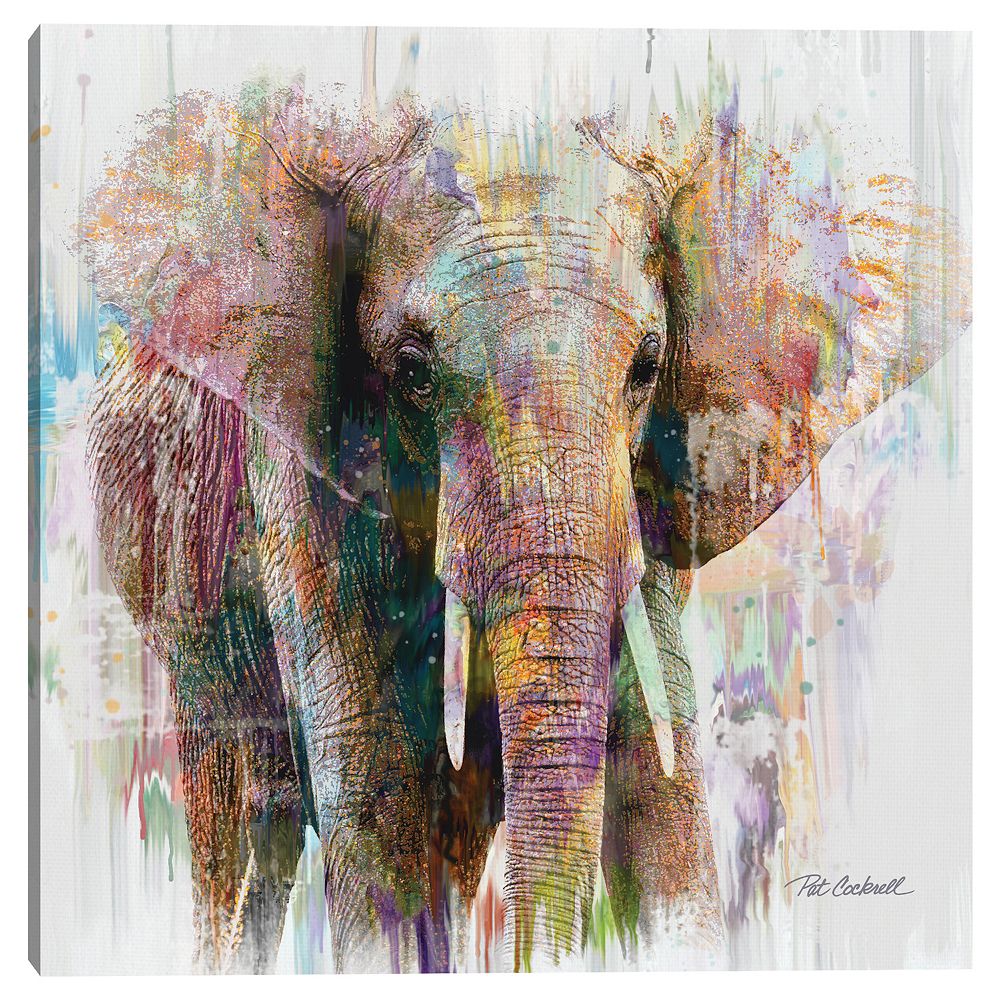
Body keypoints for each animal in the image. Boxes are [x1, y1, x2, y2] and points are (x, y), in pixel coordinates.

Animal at [79, 85, 967, 973]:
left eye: (648, 366)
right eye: (412, 370)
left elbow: (654, 780)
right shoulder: (297, 454)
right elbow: (374, 786)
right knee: (250, 823)